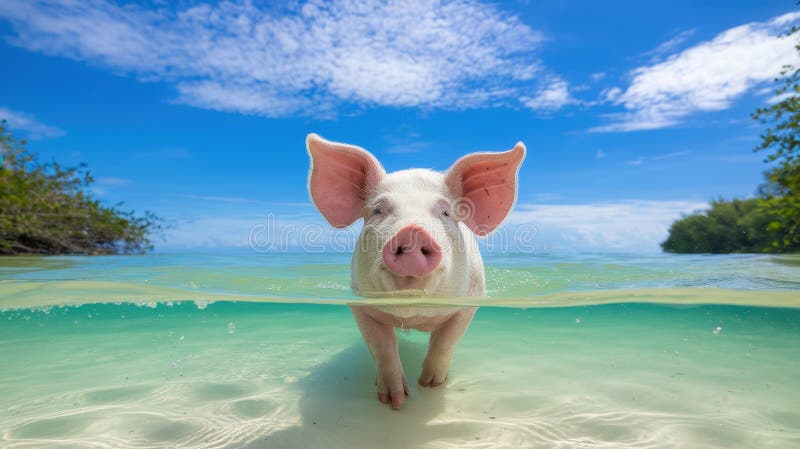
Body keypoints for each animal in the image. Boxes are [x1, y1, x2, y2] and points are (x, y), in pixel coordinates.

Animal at [306, 133, 525, 409]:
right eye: (378, 210)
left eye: (445, 211)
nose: (412, 231)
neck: (414, 314)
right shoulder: (359, 305)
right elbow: (382, 346)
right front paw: (394, 400)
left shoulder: (470, 303)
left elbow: (446, 341)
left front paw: (430, 384)